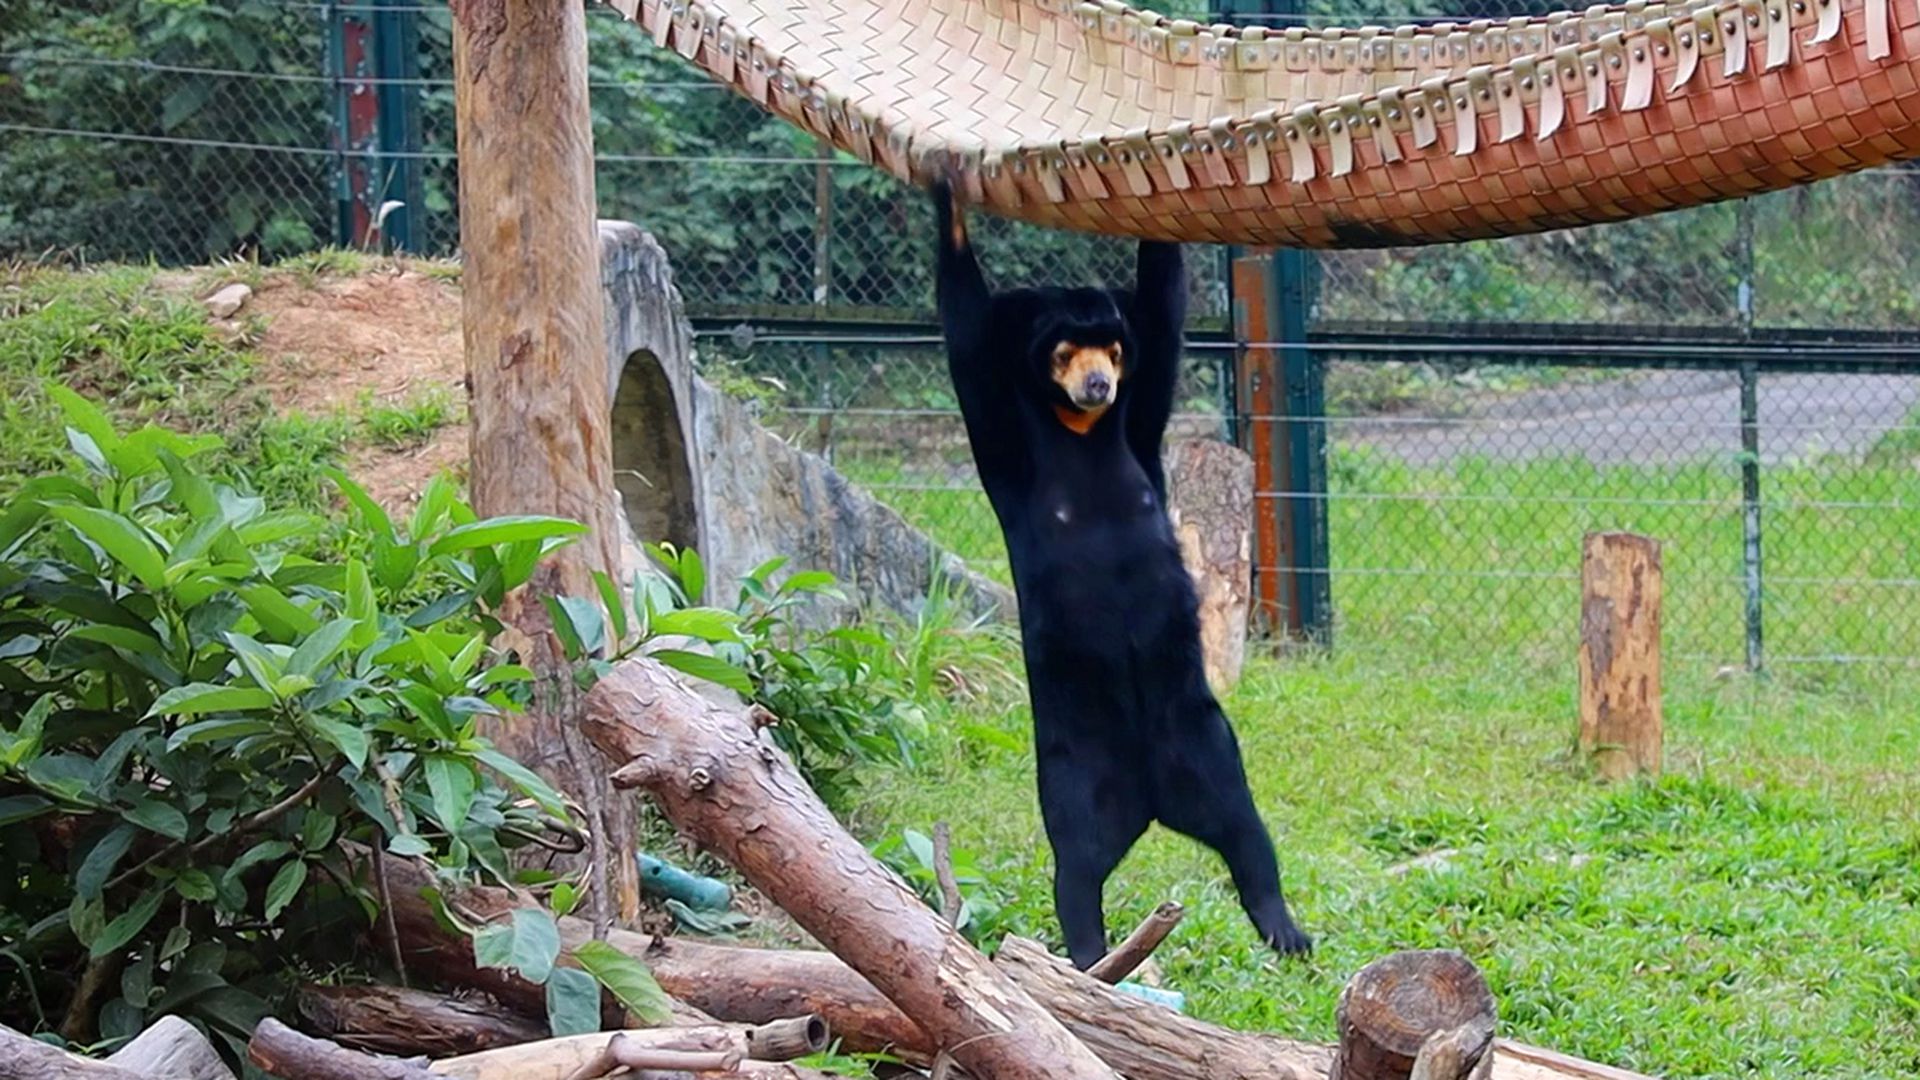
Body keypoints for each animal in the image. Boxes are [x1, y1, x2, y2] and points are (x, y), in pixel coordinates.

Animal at [929, 180, 1313, 969]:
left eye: (1108, 347)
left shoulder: (1139, 420)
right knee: (1076, 859)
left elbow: (1164, 310)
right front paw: (944, 193)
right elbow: (966, 334)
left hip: (1202, 738)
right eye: (1066, 350)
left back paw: (1282, 927)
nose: (1100, 383)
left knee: (1243, 826)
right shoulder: (1001, 431)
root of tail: (1152, 799)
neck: (1080, 430)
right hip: (1078, 762)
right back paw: (1085, 954)